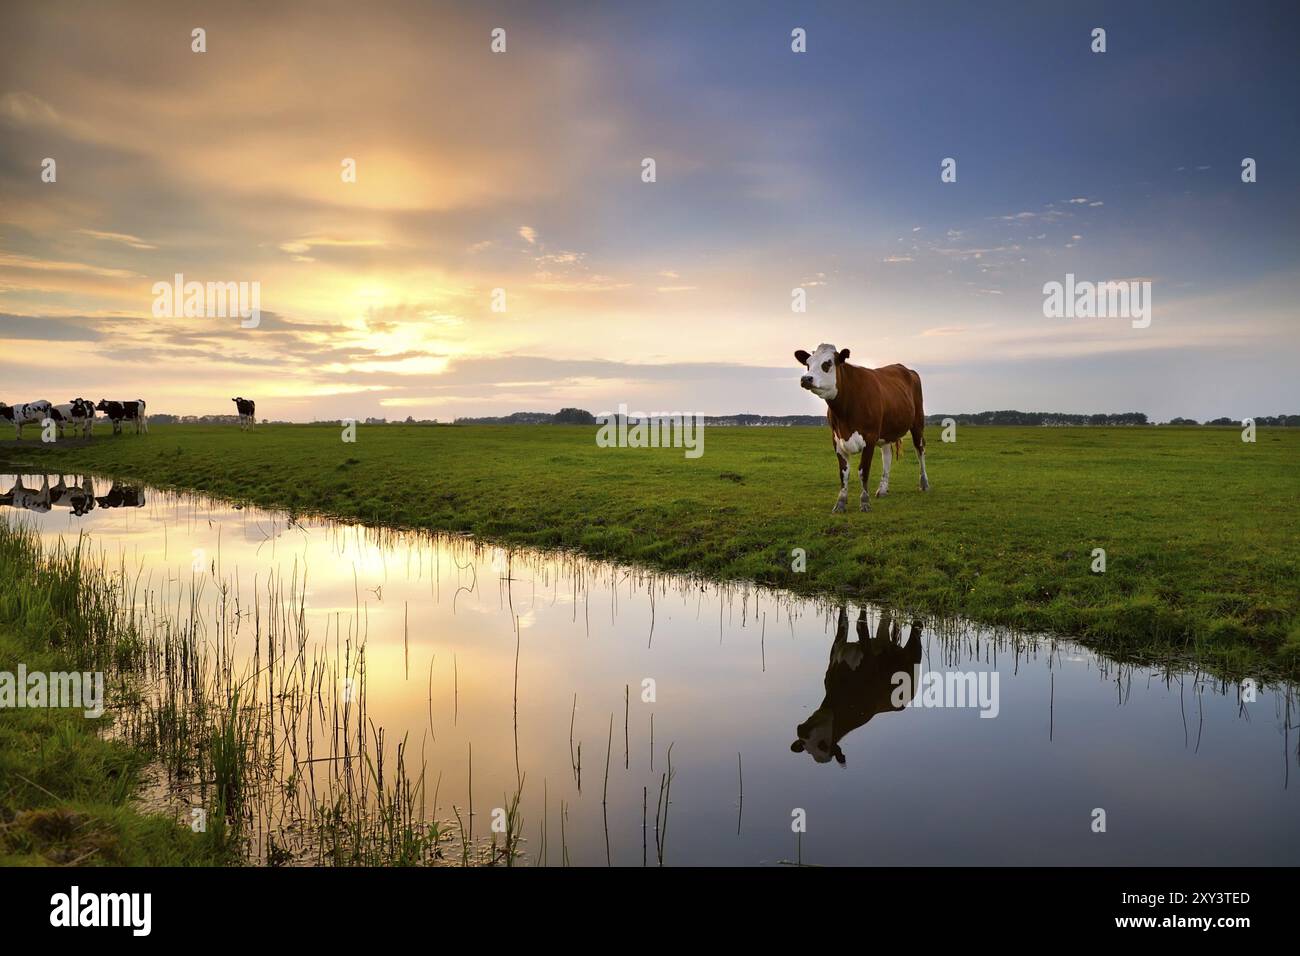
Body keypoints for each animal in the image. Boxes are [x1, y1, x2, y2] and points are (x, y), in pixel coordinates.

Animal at [791, 607, 923, 765]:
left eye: (822, 745)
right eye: (805, 746)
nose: (802, 731)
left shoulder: (867, 656)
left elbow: (861, 624)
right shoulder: (837, 648)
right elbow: (843, 621)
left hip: (913, 655)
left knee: (915, 634)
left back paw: (918, 623)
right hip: (883, 642)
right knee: (886, 622)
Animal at [795, 344, 929, 513]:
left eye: (827, 363)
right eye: (808, 364)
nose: (806, 379)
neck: (845, 410)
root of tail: (905, 369)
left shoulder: (869, 438)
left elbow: (863, 470)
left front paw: (865, 502)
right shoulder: (837, 440)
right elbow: (844, 473)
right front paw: (840, 503)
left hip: (917, 422)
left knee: (920, 450)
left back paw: (924, 484)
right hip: (886, 431)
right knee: (887, 455)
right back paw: (883, 489)